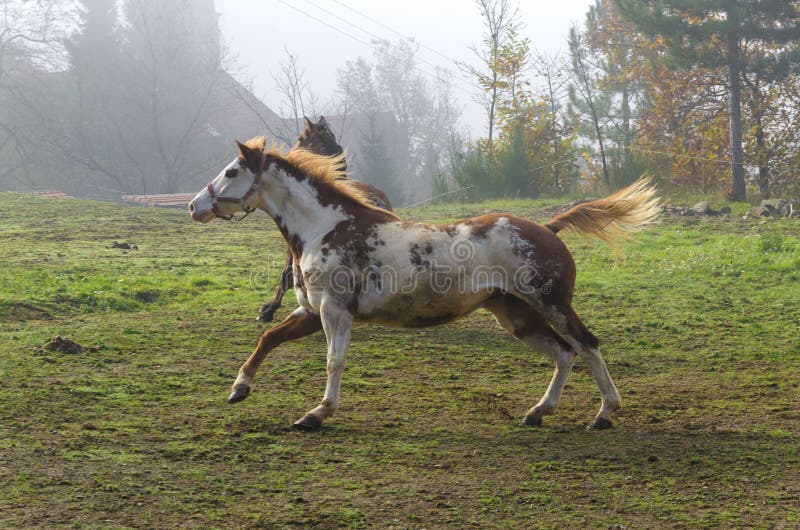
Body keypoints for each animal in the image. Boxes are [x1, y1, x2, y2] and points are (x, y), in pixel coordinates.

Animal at [188, 137, 660, 431]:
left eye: (232, 171)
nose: (194, 206)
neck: (327, 228)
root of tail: (547, 227)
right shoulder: (310, 310)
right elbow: (268, 338)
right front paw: (239, 388)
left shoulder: (335, 311)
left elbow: (334, 361)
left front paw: (317, 413)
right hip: (516, 314)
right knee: (563, 354)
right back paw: (537, 412)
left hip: (552, 304)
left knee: (587, 345)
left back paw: (604, 414)